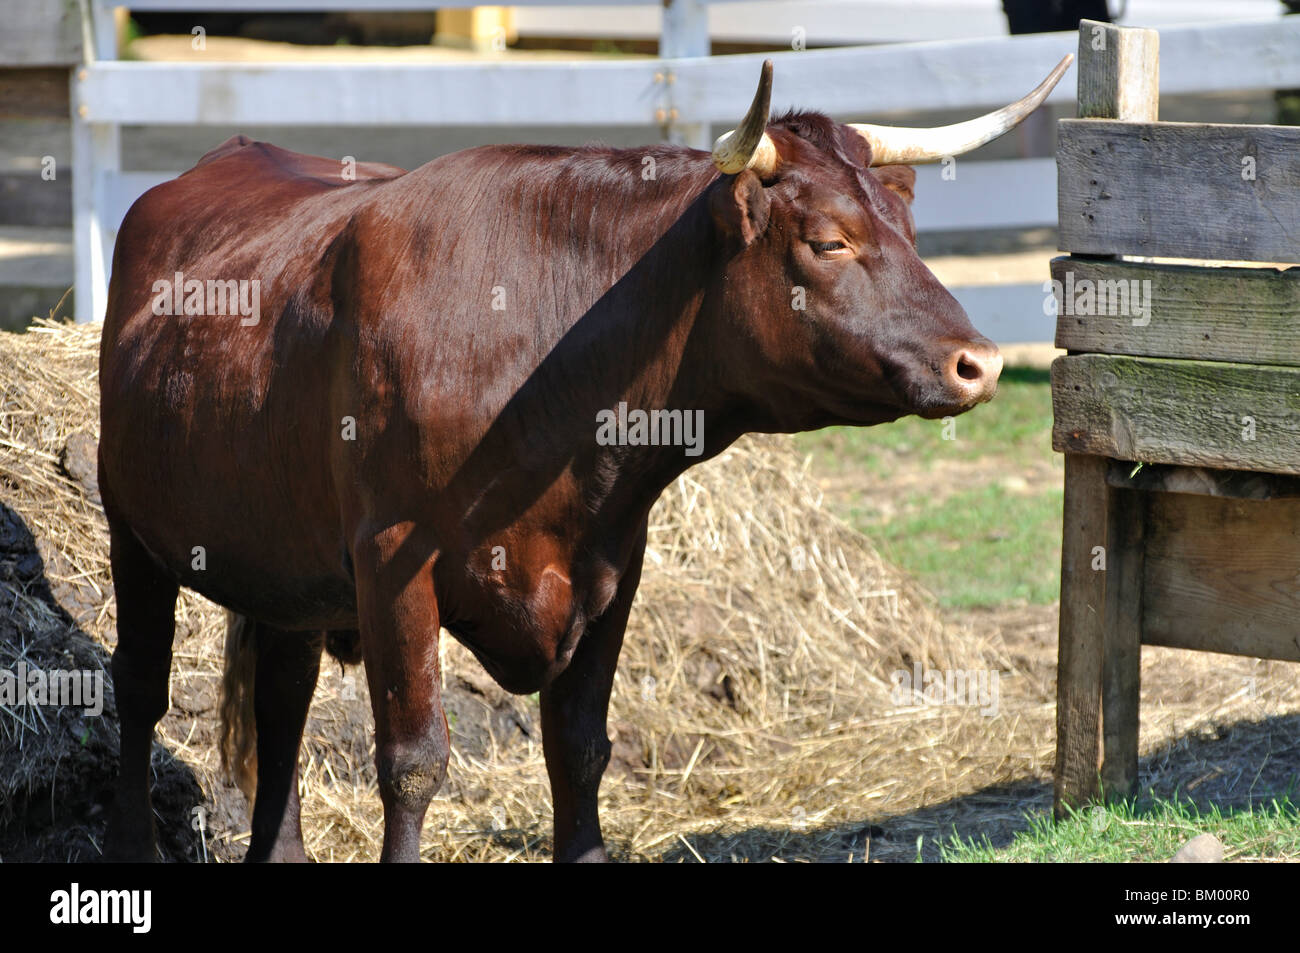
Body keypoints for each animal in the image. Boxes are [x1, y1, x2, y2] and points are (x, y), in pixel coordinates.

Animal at [99, 55, 1071, 862]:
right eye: (829, 239)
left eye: (908, 225)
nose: (979, 362)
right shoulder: (391, 559)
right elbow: (412, 759)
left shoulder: (613, 562)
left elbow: (580, 747)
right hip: (132, 525)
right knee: (141, 686)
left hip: (284, 562)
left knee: (281, 698)